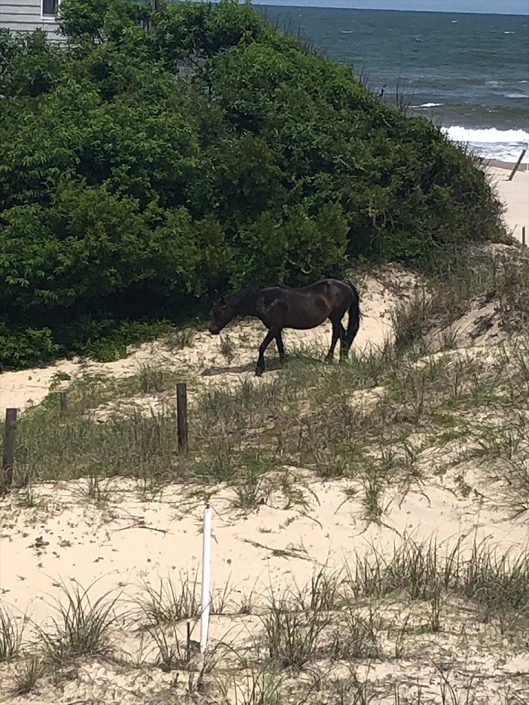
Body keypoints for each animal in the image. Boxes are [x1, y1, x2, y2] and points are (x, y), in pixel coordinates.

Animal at [208, 279, 360, 376]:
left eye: (217, 312)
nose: (212, 330)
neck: (264, 300)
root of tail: (346, 285)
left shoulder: (273, 328)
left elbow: (262, 346)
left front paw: (259, 369)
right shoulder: (277, 329)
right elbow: (280, 345)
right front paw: (283, 363)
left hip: (335, 317)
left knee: (338, 335)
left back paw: (333, 359)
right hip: (335, 318)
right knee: (343, 335)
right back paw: (339, 358)